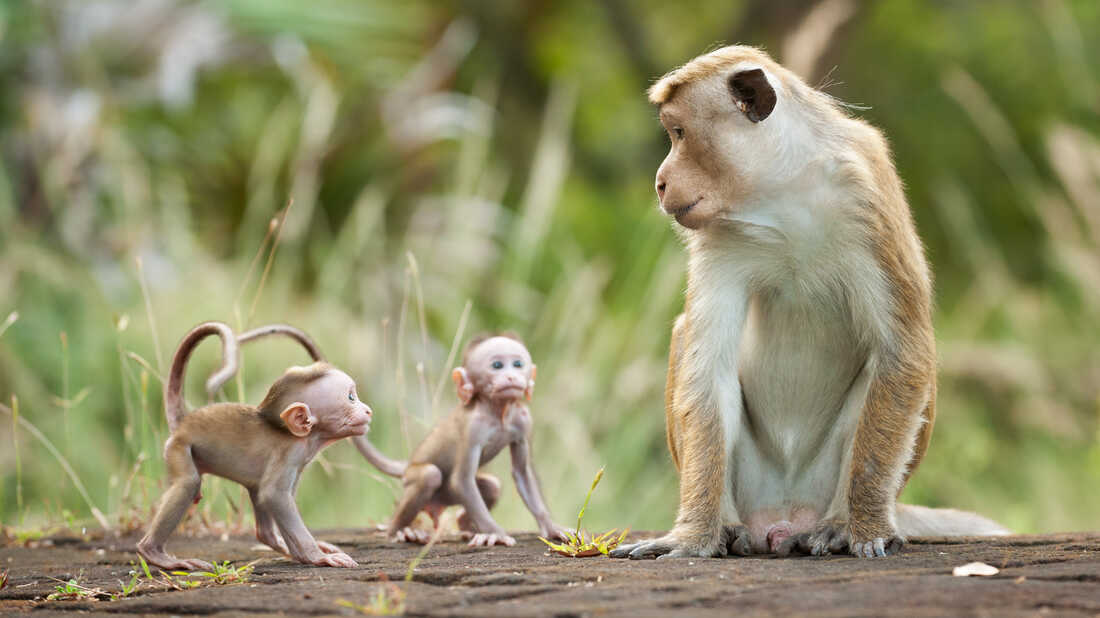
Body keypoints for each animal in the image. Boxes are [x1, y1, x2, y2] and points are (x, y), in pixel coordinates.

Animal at [136, 321, 373, 570]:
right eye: (351, 398)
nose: (367, 410)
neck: (304, 437)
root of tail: (184, 422)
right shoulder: (288, 454)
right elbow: (274, 495)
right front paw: (317, 556)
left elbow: (271, 495)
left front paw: (304, 553)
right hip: (179, 448)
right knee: (189, 483)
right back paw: (155, 553)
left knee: (256, 499)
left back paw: (275, 541)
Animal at [354, 333, 568, 547]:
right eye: (497, 365)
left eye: (518, 364)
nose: (511, 376)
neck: (498, 412)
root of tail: (408, 464)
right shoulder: (473, 427)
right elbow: (462, 480)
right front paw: (495, 533)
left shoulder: (524, 421)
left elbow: (522, 473)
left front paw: (551, 527)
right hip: (414, 479)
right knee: (429, 476)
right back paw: (398, 530)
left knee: (492, 486)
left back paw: (466, 526)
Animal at [610, 46, 1007, 561]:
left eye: (679, 133)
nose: (660, 182)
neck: (783, 193)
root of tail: (783, 518)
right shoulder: (719, 237)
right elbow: (707, 368)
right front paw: (693, 536)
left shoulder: (866, 196)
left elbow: (904, 351)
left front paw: (866, 526)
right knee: (688, 341)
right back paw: (729, 526)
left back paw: (839, 522)